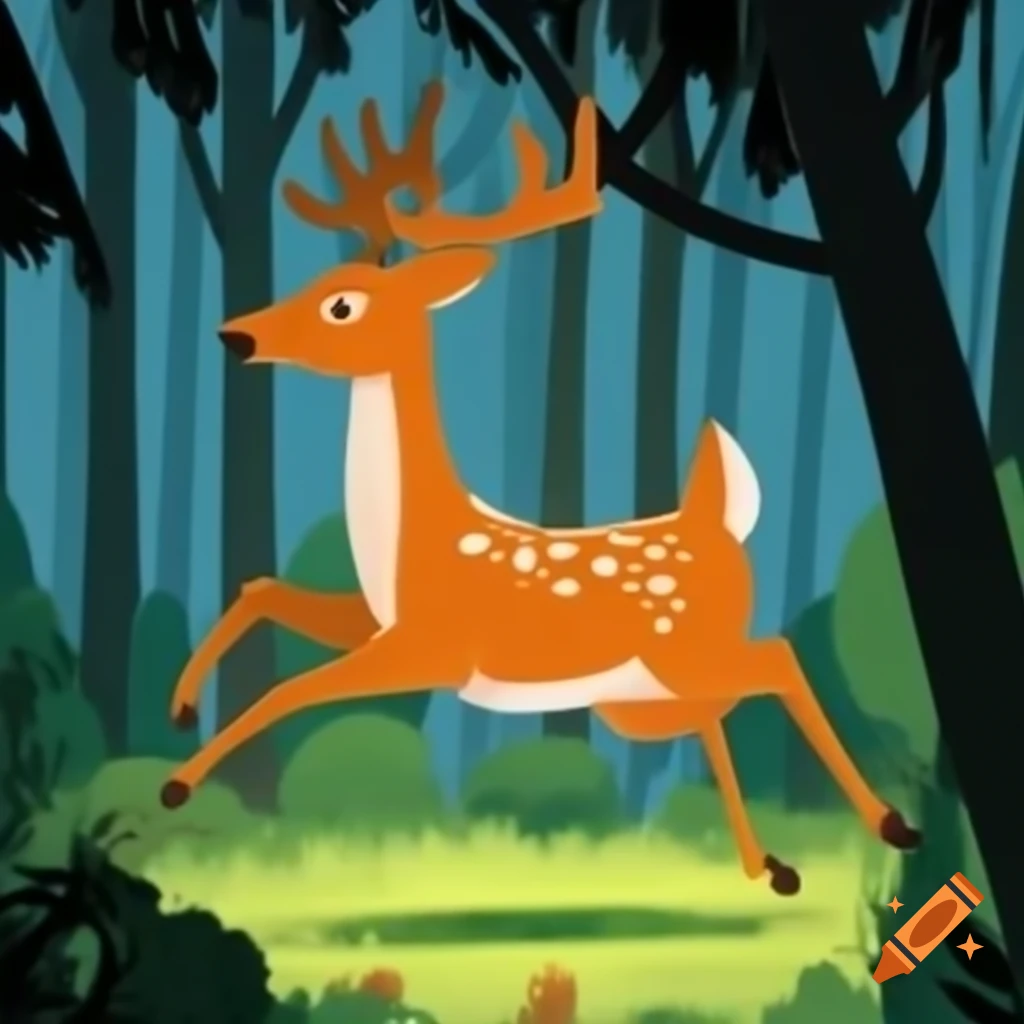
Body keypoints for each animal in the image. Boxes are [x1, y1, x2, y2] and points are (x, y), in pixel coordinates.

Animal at [159, 80, 921, 894]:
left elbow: (288, 689)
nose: (236, 335)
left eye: (343, 303)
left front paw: (176, 783)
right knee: (712, 709)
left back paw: (891, 823)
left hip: (684, 650)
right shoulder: (376, 620)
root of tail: (715, 518)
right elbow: (261, 590)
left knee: (775, 658)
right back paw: (770, 865)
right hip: (636, 694)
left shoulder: (431, 648)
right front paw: (180, 707)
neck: (404, 541)